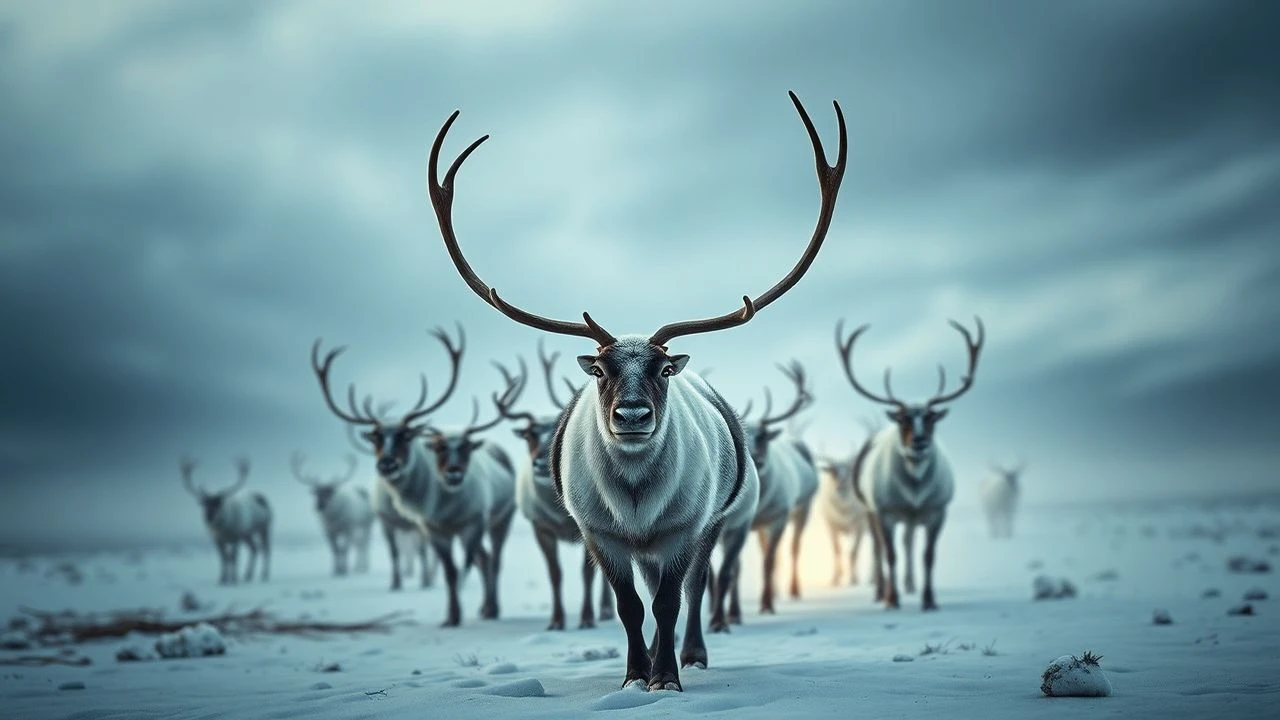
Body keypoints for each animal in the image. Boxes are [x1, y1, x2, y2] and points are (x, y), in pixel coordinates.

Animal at [180, 456, 271, 585]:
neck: (223, 528)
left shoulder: (236, 536)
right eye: (204, 504)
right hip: (247, 534)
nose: (208, 517)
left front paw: (234, 579)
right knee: (254, 548)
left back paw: (264, 575)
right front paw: (222, 579)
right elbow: (224, 558)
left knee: (265, 549)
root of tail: (261, 496)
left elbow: (233, 557)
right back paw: (248, 575)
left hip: (264, 527)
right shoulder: (217, 539)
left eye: (217, 503)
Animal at [497, 339, 616, 630]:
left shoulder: (588, 525)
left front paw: (587, 619)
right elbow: (555, 573)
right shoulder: (540, 526)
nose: (540, 463)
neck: (559, 513)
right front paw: (556, 621)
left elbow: (587, 572)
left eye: (556, 431)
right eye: (529, 434)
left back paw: (606, 610)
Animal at [834, 316, 985, 611]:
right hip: (870, 510)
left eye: (931, 418)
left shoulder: (937, 510)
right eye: (903, 419)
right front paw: (892, 599)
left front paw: (929, 599)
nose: (919, 442)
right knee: (880, 549)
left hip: (913, 519)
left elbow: (928, 555)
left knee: (908, 543)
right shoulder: (884, 511)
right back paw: (882, 591)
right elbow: (890, 554)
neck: (914, 488)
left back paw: (910, 585)